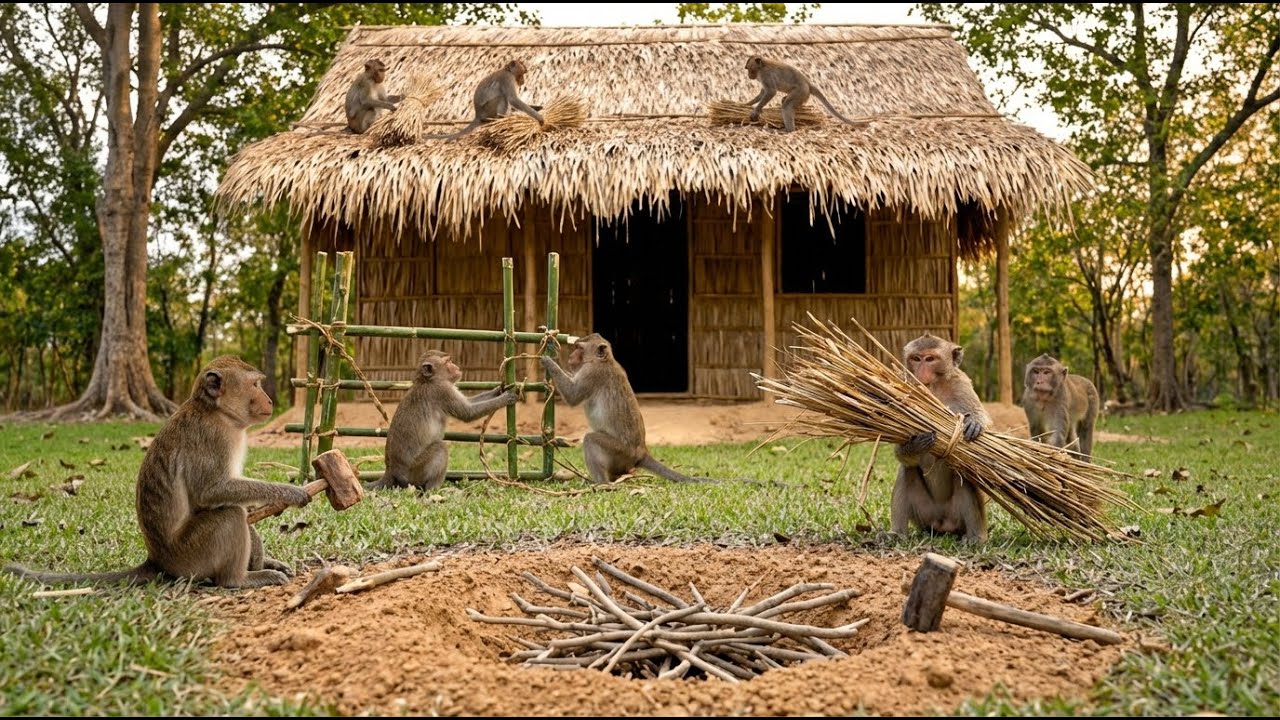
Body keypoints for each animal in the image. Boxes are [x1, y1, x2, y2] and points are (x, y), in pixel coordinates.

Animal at [4, 357, 312, 589]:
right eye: (255, 384)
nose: (270, 400)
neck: (216, 411)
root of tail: (158, 560)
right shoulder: (214, 438)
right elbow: (212, 492)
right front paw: (290, 492)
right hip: (192, 554)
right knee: (230, 515)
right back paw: (239, 579)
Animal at [366, 350, 519, 491]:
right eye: (448, 362)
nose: (457, 367)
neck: (428, 380)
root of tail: (391, 471)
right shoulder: (443, 391)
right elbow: (468, 413)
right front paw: (504, 398)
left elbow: (470, 403)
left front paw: (499, 390)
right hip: (414, 472)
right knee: (440, 448)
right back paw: (434, 489)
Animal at [540, 334, 718, 485]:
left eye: (580, 348)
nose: (571, 357)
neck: (604, 361)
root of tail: (641, 453)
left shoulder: (592, 373)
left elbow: (572, 395)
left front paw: (549, 361)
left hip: (619, 451)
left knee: (591, 439)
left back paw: (602, 483)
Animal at [891, 334, 991, 544]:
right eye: (916, 358)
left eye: (930, 359)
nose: (920, 372)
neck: (934, 388)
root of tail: (943, 524)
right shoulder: (903, 388)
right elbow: (900, 450)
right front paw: (913, 446)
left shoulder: (962, 384)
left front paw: (975, 422)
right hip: (924, 516)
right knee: (907, 471)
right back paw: (896, 534)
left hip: (956, 517)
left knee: (964, 475)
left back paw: (976, 538)